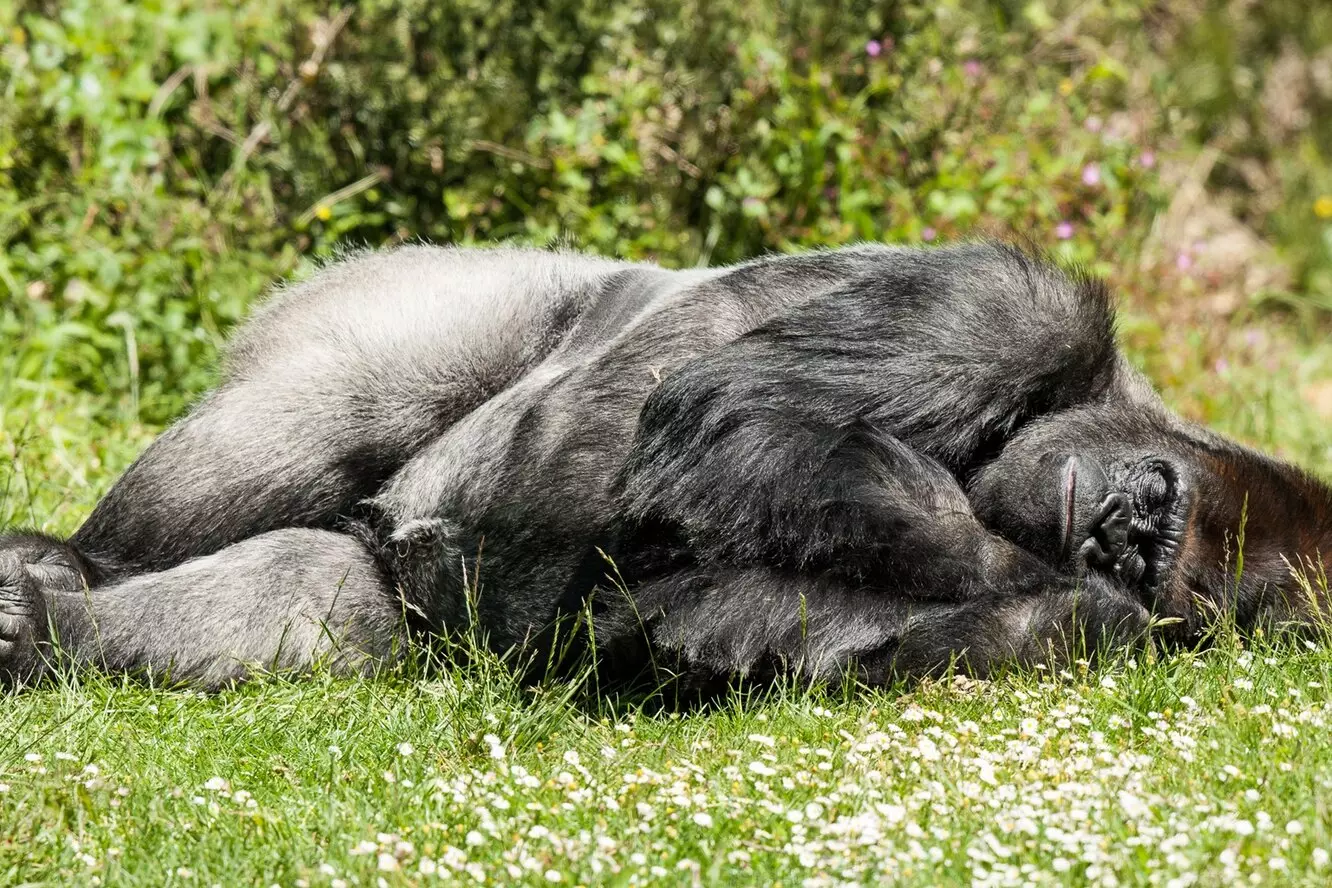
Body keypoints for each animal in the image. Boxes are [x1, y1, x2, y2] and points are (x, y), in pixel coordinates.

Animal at [2, 240, 1332, 686]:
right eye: (1160, 501)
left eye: (1166, 556)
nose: (1120, 531)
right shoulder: (1017, 308)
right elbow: (732, 410)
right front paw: (1025, 562)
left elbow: (694, 623)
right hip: (411, 289)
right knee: (323, 414)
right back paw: (70, 561)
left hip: (393, 582)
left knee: (304, 603)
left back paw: (55, 630)